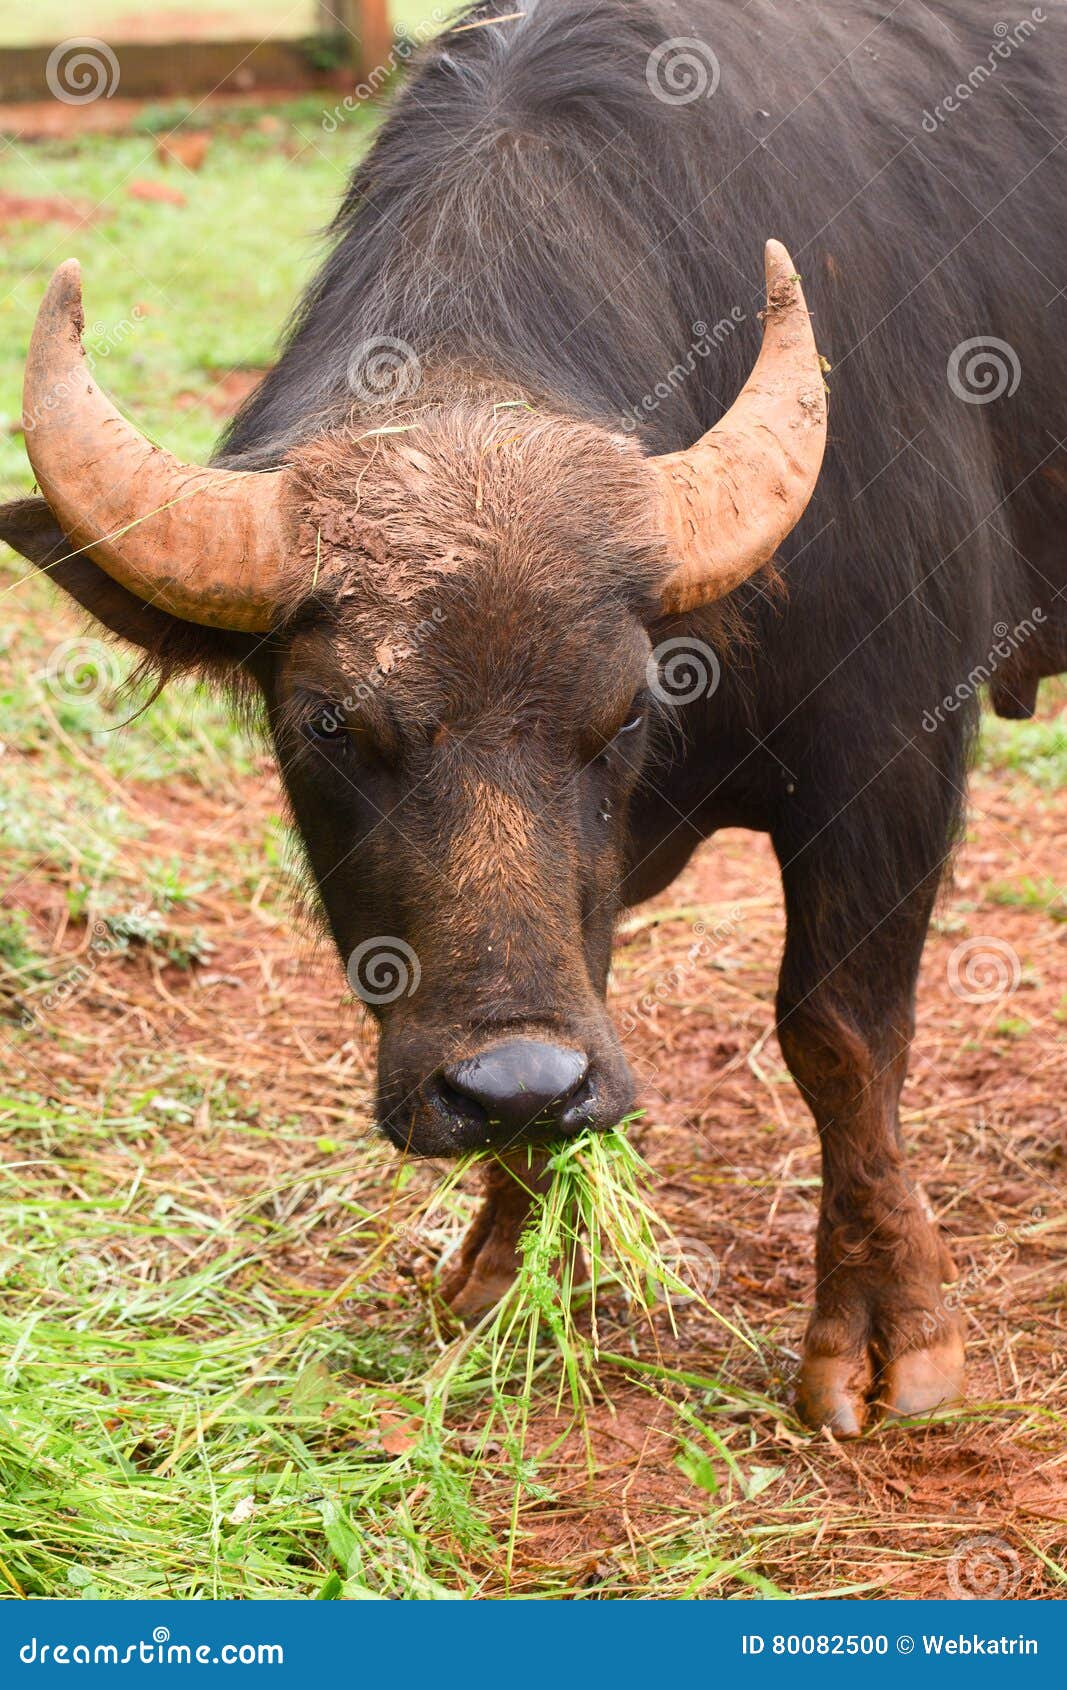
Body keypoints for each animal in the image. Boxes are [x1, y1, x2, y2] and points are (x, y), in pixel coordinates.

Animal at [2, 0, 1064, 1436]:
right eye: (328, 724)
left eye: (627, 711)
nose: (511, 1085)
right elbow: (568, 962)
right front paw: (504, 1263)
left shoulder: (890, 744)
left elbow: (839, 1035)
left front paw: (884, 1330)